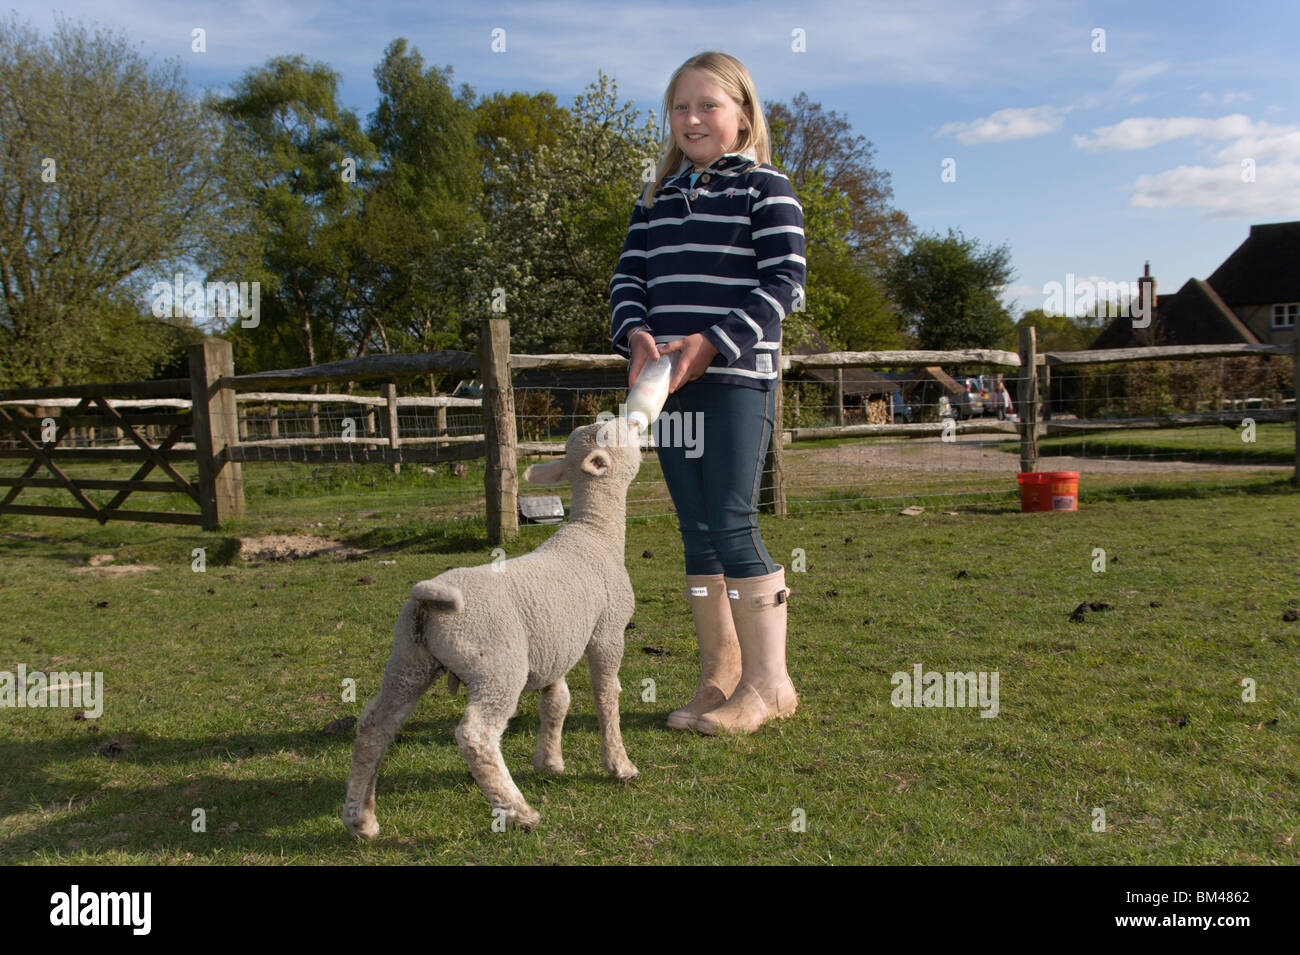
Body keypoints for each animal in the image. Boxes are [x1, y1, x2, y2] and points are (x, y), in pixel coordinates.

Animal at [342, 416, 642, 836]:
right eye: (611, 432)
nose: (633, 419)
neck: (596, 533)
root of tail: (429, 598)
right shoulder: (608, 632)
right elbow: (606, 696)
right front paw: (619, 764)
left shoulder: (553, 645)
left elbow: (556, 702)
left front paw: (549, 761)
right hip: (495, 666)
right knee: (476, 735)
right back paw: (518, 811)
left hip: (408, 659)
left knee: (374, 726)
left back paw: (361, 818)